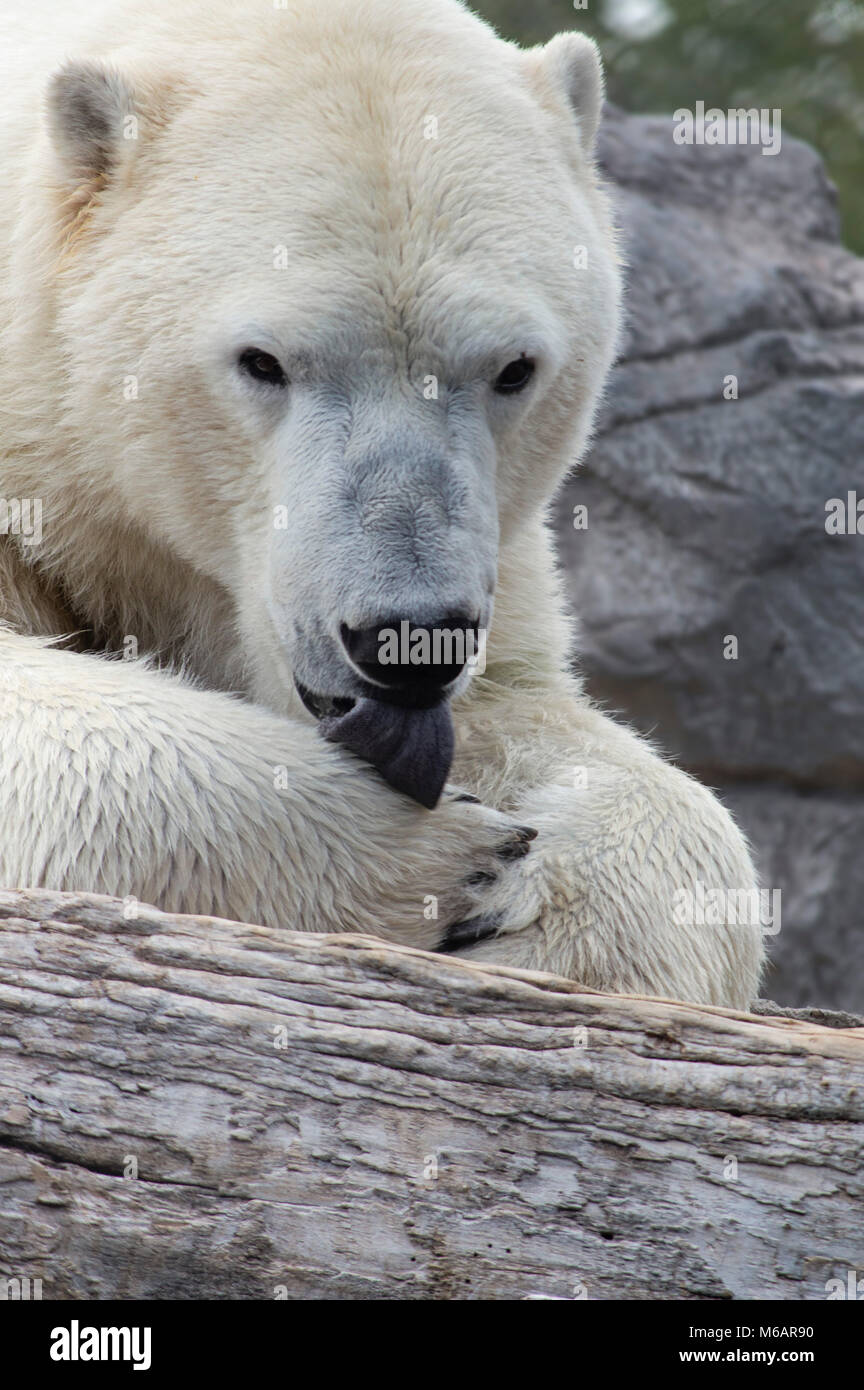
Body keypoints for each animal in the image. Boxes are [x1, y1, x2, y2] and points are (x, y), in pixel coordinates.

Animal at [0, 0, 764, 1008]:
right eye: (262, 361)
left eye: (514, 368)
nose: (408, 638)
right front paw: (445, 856)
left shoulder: (496, 546)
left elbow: (532, 716)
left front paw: (536, 916)